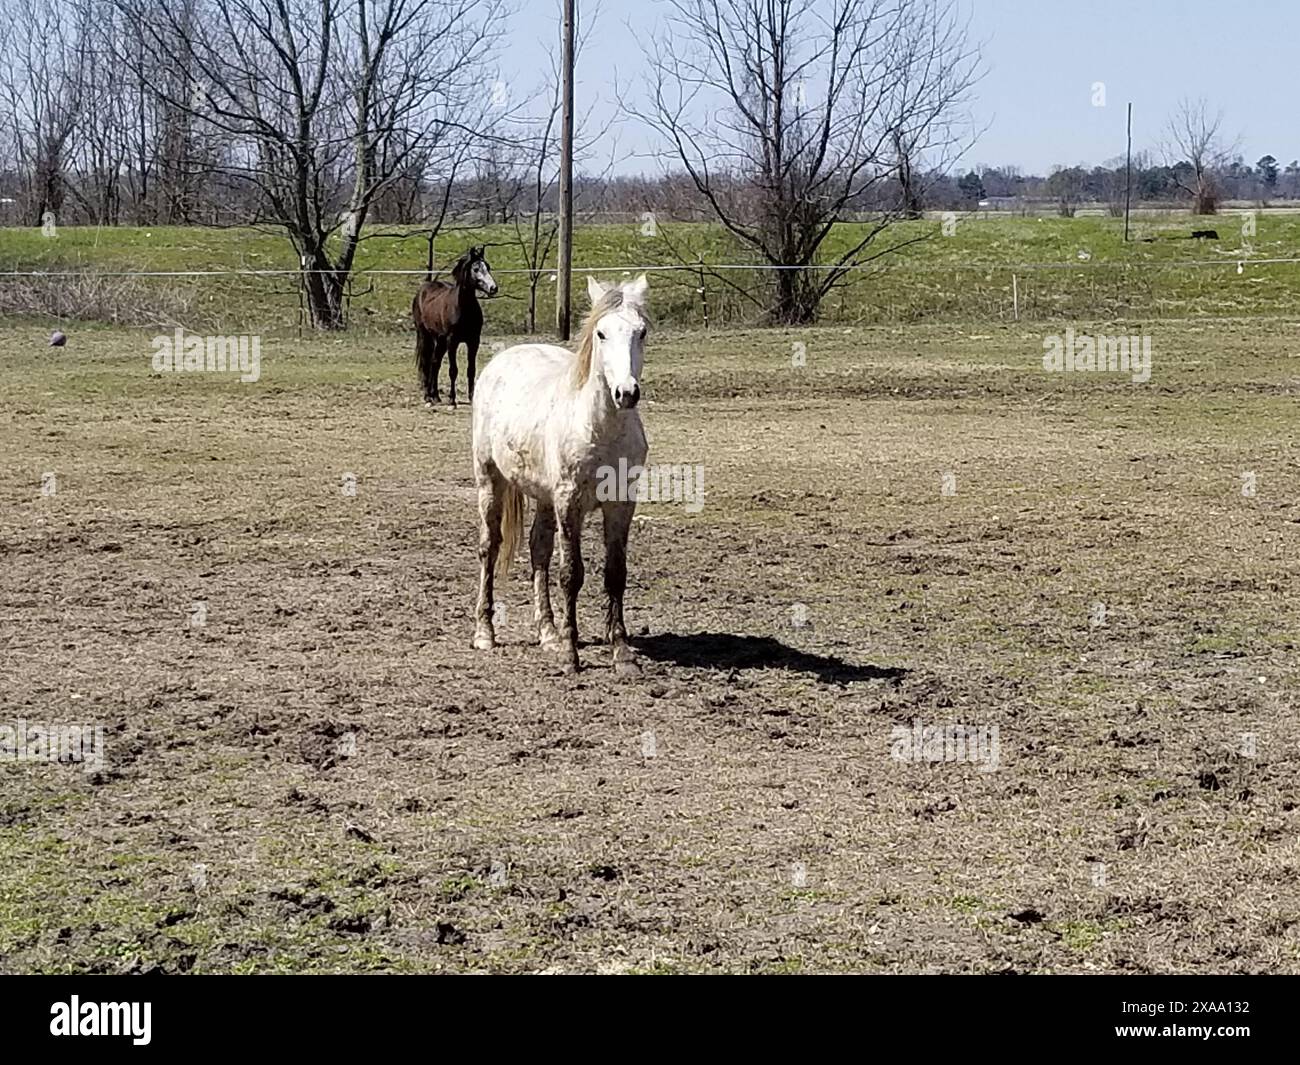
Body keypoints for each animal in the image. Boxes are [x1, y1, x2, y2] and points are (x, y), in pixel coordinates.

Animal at [411, 245, 498, 406]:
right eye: (476, 269)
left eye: (488, 267)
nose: (493, 288)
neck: (463, 308)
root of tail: (423, 290)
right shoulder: (453, 341)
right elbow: (453, 370)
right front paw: (452, 400)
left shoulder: (473, 341)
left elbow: (471, 369)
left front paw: (471, 397)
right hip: (425, 336)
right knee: (427, 363)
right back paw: (428, 397)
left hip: (440, 340)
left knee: (435, 363)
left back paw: (436, 396)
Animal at [469, 274, 650, 674]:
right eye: (601, 333)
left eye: (641, 332)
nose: (626, 393)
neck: (601, 429)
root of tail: (505, 358)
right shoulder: (570, 502)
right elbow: (571, 574)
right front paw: (570, 653)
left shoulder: (621, 504)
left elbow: (616, 573)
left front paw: (621, 652)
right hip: (490, 481)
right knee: (490, 547)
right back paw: (485, 633)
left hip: (543, 497)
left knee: (539, 549)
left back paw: (548, 633)